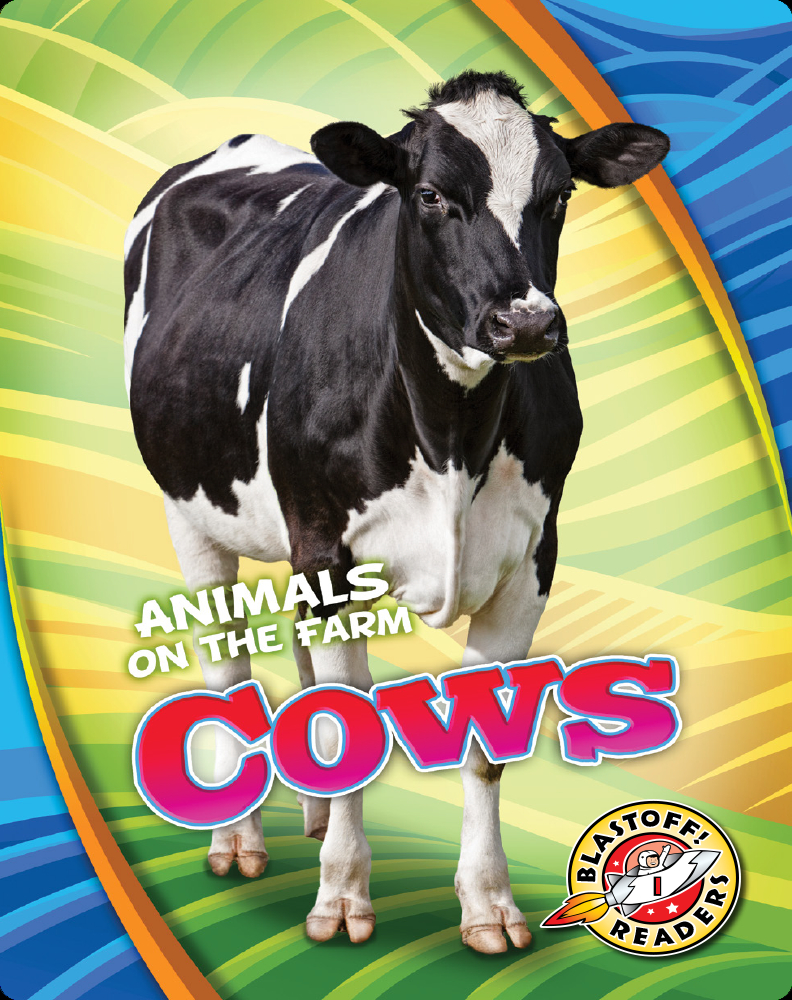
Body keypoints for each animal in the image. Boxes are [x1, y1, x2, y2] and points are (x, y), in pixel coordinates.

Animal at [124, 70, 669, 954]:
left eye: (557, 196)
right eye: (430, 194)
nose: (525, 322)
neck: (451, 434)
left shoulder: (533, 562)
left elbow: (482, 747)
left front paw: (490, 905)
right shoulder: (325, 548)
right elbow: (347, 725)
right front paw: (342, 898)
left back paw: (312, 821)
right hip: (191, 511)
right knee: (225, 658)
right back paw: (237, 842)